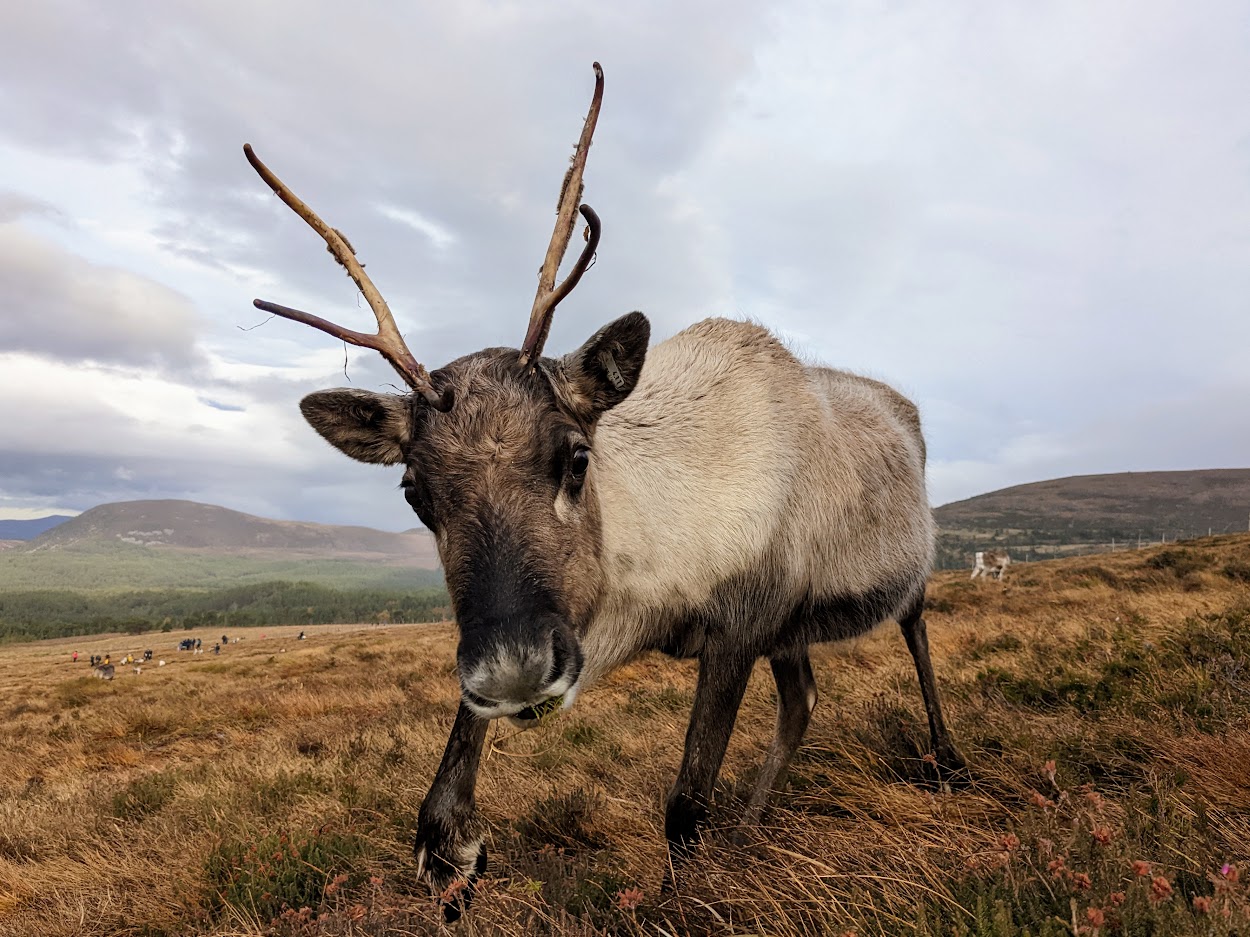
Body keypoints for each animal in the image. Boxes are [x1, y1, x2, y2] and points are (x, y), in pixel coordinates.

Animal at [243, 62, 965, 922]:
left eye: (577, 458)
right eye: (414, 493)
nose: (513, 670)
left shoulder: (736, 628)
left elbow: (685, 805)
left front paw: (688, 901)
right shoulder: (607, 626)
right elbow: (438, 809)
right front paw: (457, 857)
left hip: (905, 577)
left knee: (914, 636)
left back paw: (948, 759)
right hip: (791, 631)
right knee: (802, 702)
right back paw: (757, 825)